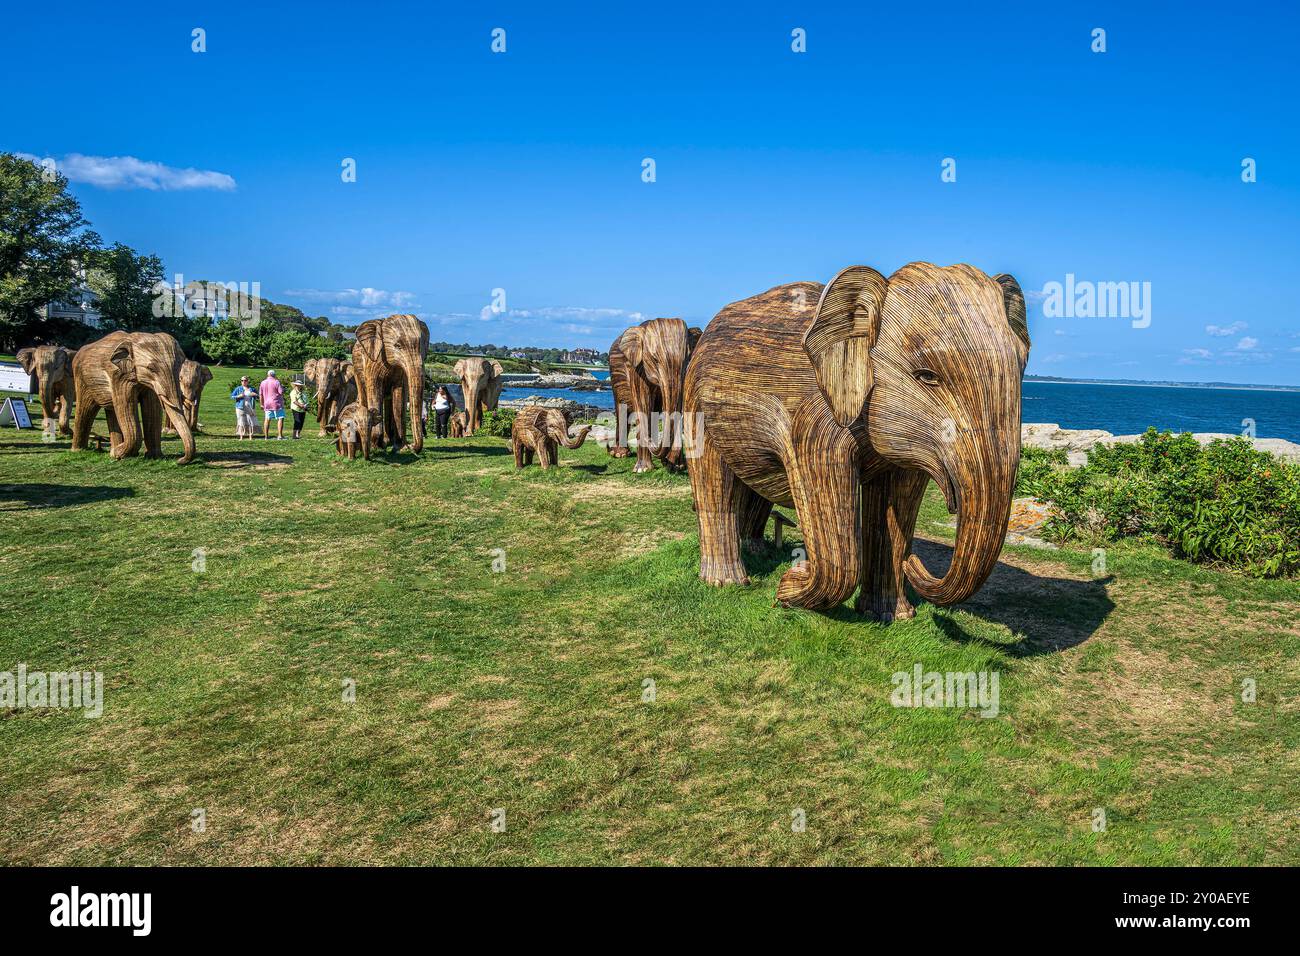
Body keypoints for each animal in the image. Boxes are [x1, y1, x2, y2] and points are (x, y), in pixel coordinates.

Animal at [70, 331, 197, 464]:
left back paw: (112, 452)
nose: (179, 459)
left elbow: (153, 409)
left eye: (179, 369)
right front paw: (120, 454)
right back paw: (80, 450)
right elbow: (128, 408)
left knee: (112, 411)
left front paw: (154, 457)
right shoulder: (119, 376)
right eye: (151, 369)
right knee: (85, 410)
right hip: (82, 380)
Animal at [351, 314, 429, 453]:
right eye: (397, 346)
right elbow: (375, 393)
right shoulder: (373, 363)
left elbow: (398, 400)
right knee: (364, 394)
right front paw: (376, 446)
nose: (411, 447)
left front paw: (399, 448)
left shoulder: (399, 372)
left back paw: (388, 442)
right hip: (356, 367)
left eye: (421, 346)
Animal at [607, 317, 702, 473]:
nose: (668, 462)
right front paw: (643, 470)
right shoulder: (637, 368)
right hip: (615, 376)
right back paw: (620, 454)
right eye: (654, 358)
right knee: (623, 411)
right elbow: (643, 406)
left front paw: (675, 465)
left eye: (687, 358)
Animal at [682, 262, 1029, 622]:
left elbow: (896, 498)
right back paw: (726, 582)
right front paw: (789, 586)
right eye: (927, 376)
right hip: (695, 400)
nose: (914, 563)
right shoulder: (815, 422)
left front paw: (892, 617)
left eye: (1021, 370)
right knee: (711, 475)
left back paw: (756, 551)